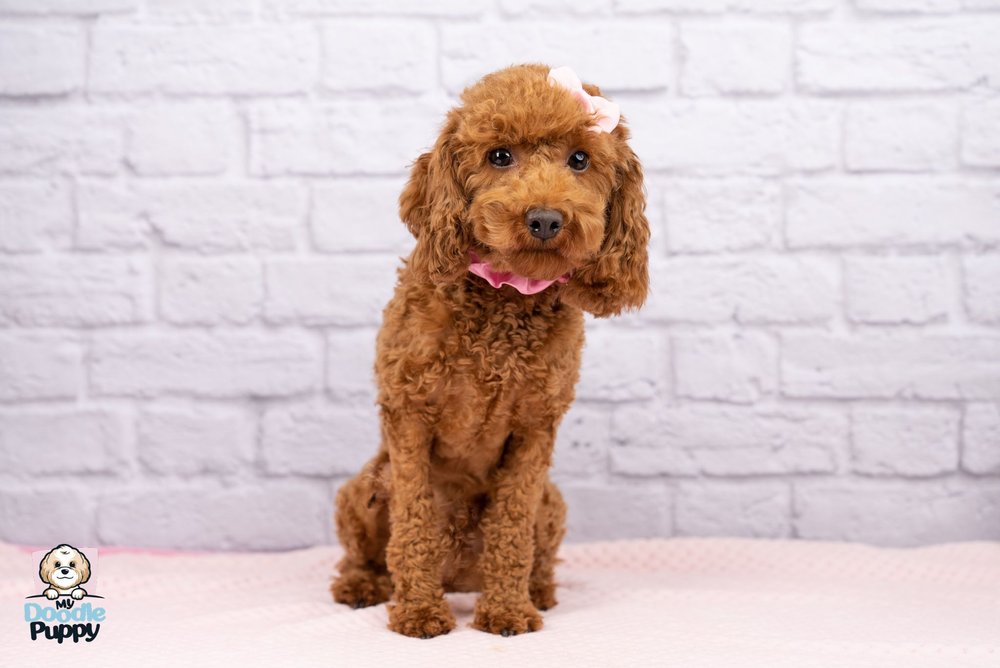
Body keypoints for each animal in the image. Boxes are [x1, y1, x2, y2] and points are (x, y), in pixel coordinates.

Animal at [332, 65, 652, 640]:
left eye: (580, 159)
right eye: (499, 155)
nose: (545, 218)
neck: (504, 297)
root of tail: (460, 577)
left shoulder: (535, 427)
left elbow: (512, 526)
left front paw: (507, 610)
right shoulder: (408, 416)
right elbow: (412, 523)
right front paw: (418, 613)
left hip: (553, 501)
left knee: (538, 553)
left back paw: (538, 591)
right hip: (362, 489)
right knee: (364, 554)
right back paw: (364, 586)